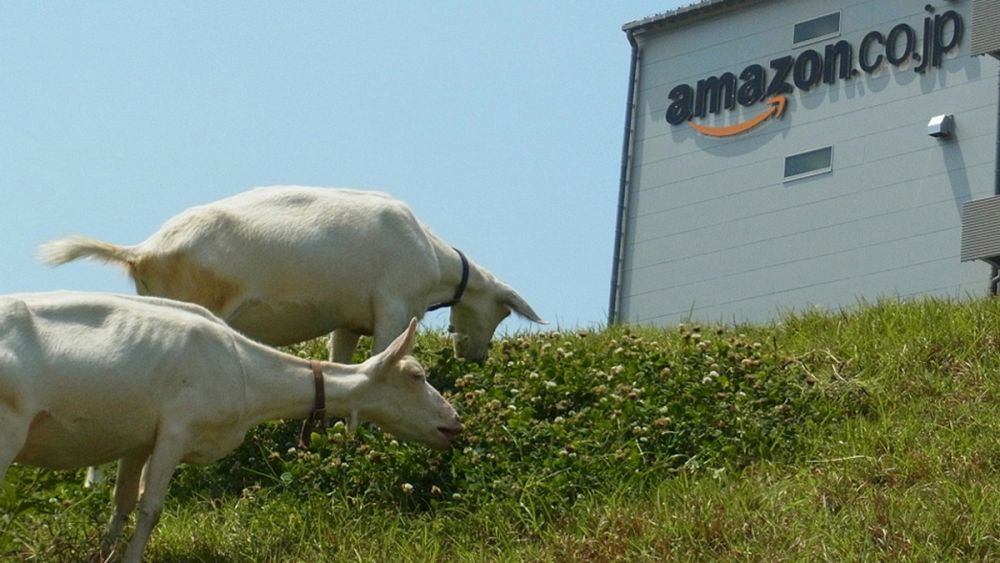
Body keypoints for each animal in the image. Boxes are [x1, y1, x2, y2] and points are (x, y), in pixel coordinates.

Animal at [0, 291, 462, 563]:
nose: (454, 423)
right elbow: (151, 507)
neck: (244, 369)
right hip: (9, 428)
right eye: (416, 375)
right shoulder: (178, 428)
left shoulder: (141, 438)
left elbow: (123, 504)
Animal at [39, 186, 545, 364]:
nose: (475, 358)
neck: (434, 256)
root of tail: (142, 252)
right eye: (503, 313)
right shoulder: (394, 309)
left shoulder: (350, 320)